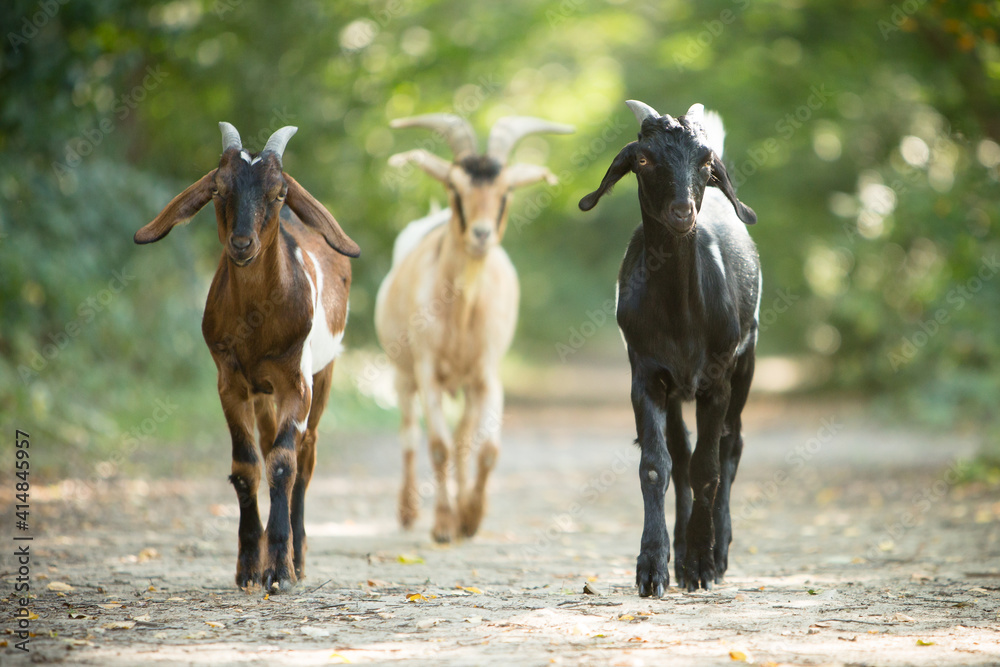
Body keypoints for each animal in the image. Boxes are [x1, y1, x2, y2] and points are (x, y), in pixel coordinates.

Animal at [134, 123, 360, 591]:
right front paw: (249, 567)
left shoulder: (296, 382)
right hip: (263, 393)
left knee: (306, 457)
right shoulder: (231, 383)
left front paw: (281, 570)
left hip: (324, 376)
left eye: (278, 192)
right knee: (271, 443)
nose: (241, 243)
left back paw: (299, 556)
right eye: (219, 189)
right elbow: (246, 465)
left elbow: (283, 465)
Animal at [376, 113, 572, 543]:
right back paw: (408, 512)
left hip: (465, 387)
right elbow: (437, 446)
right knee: (409, 436)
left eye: (507, 190)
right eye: (454, 186)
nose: (481, 234)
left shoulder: (486, 374)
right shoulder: (427, 372)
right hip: (402, 374)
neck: (461, 315)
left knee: (464, 438)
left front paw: (471, 517)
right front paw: (443, 525)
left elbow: (486, 449)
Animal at [579, 101, 760, 595]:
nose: (682, 212)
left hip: (746, 362)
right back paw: (679, 554)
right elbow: (658, 466)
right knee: (680, 455)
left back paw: (719, 549)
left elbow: (708, 467)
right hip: (677, 390)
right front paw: (654, 564)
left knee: (731, 446)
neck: (681, 316)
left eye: (705, 161)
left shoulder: (717, 378)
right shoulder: (646, 375)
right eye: (643, 159)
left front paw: (702, 562)